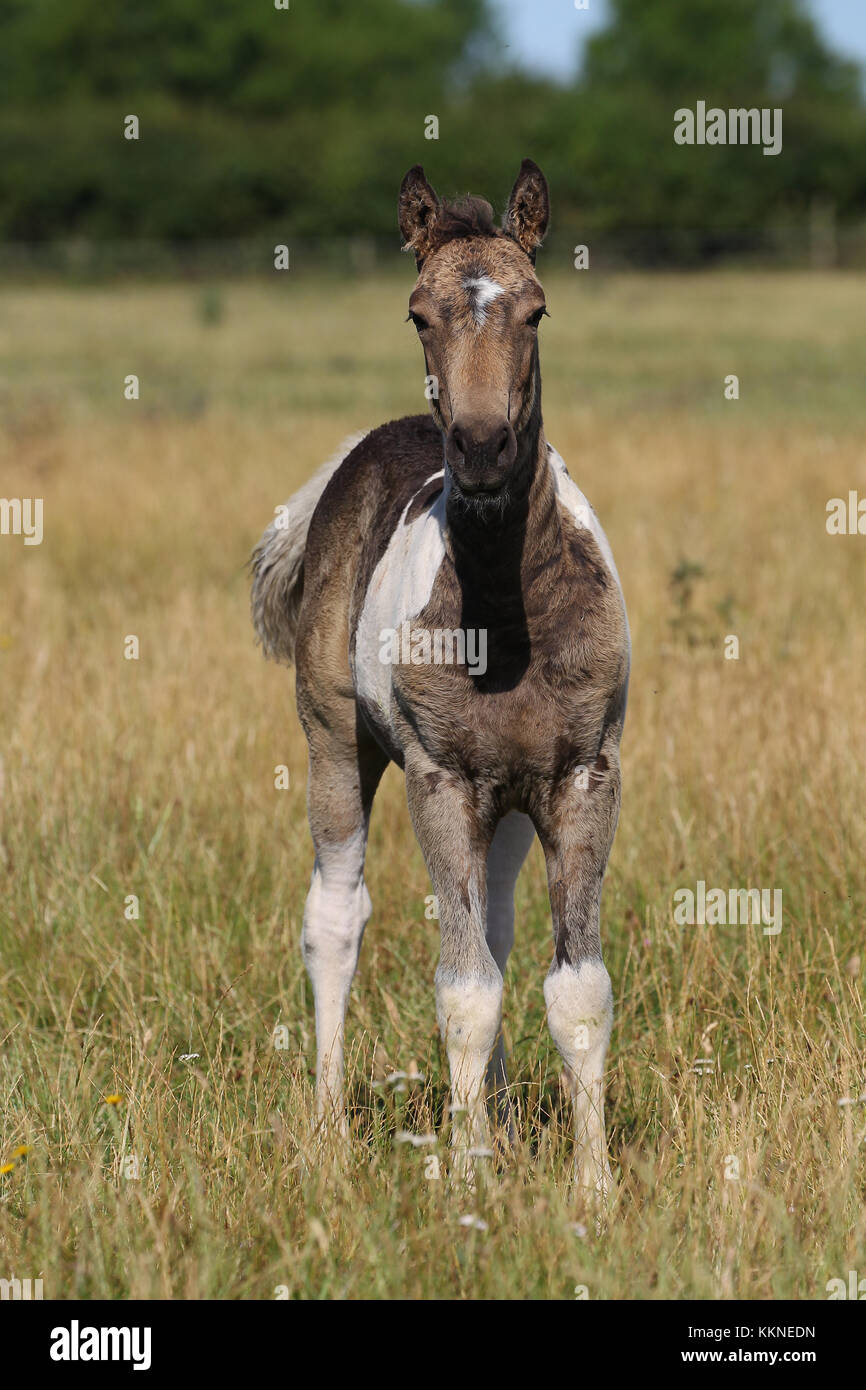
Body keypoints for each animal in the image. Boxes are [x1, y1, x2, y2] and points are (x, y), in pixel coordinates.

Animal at [251, 160, 630, 1198]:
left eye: (537, 310)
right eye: (418, 314)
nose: (484, 447)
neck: (504, 617)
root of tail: (367, 447)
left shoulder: (583, 776)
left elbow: (574, 989)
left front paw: (591, 1187)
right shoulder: (440, 780)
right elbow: (463, 993)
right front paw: (468, 1181)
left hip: (508, 804)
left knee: (493, 929)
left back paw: (492, 1115)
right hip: (336, 744)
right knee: (335, 918)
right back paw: (331, 1130)